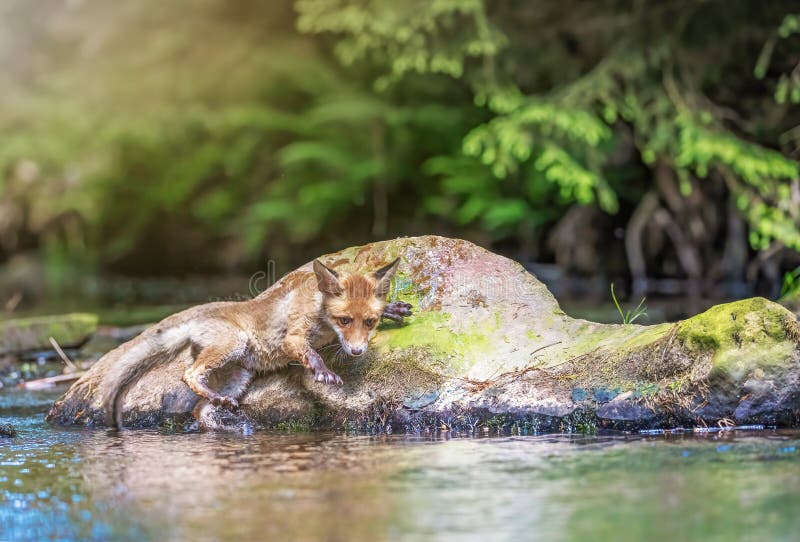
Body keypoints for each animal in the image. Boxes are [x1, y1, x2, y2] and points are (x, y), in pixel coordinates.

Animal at [100, 258, 412, 429]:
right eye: (344, 320)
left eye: (369, 322)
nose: (357, 351)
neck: (324, 322)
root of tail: (199, 314)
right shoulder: (293, 338)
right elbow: (313, 355)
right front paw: (323, 372)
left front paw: (392, 309)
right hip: (233, 344)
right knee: (188, 375)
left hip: (238, 378)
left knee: (199, 410)